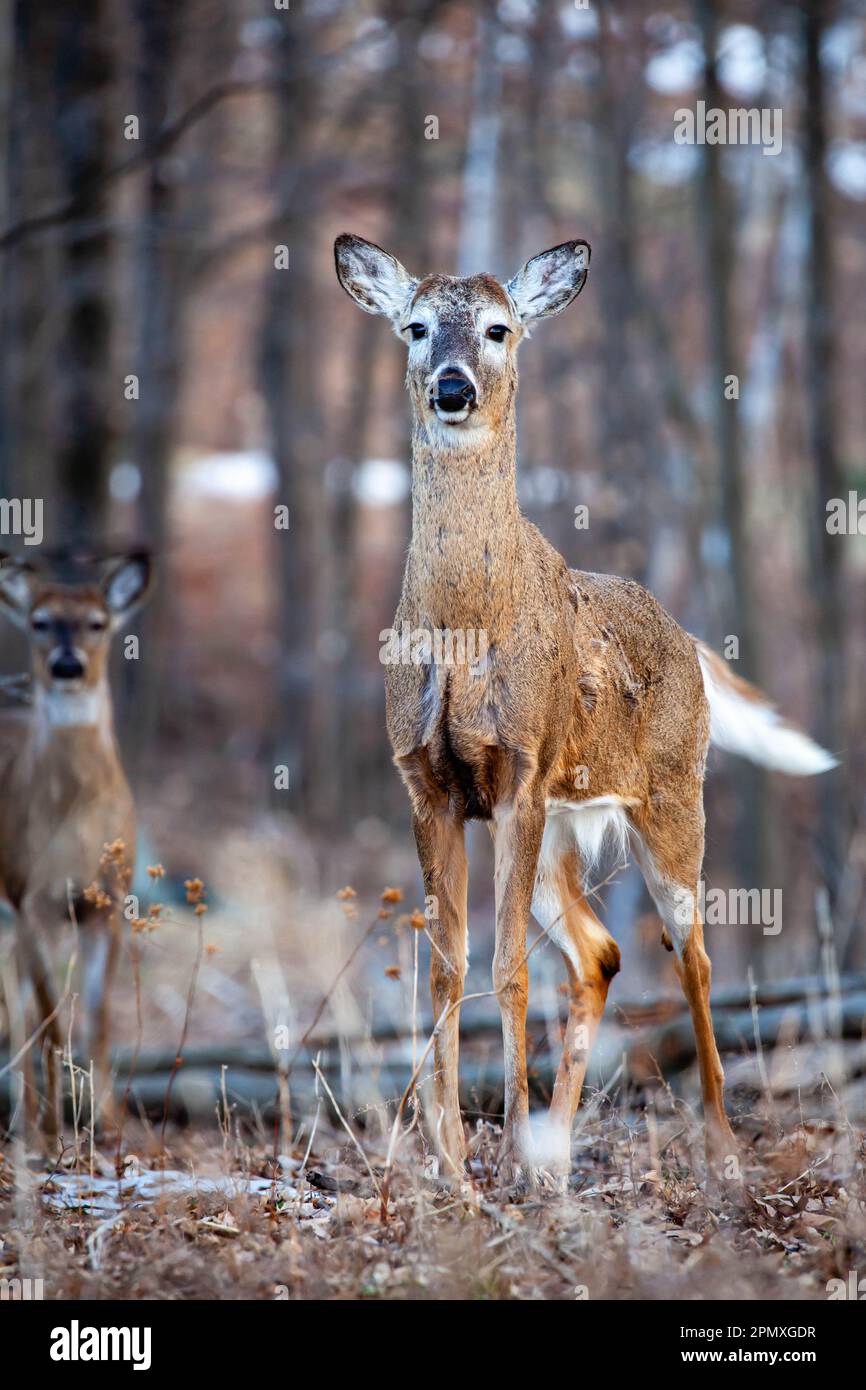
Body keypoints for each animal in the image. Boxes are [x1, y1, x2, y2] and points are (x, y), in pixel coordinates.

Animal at [0, 549, 151, 1135]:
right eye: (40, 622)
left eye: (98, 622)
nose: (68, 665)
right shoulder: (31, 900)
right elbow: (47, 1017)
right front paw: (50, 1126)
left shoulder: (106, 902)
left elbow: (97, 1018)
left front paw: (107, 1121)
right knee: (18, 1009)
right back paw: (25, 1119)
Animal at [334, 232, 837, 1188]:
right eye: (416, 325)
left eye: (498, 327)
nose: (451, 385)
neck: (465, 624)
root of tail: (688, 638)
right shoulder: (429, 784)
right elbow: (447, 968)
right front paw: (452, 1162)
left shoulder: (520, 773)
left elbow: (507, 972)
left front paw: (495, 1159)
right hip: (566, 827)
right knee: (600, 954)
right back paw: (557, 1152)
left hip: (672, 800)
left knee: (693, 956)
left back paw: (720, 1146)